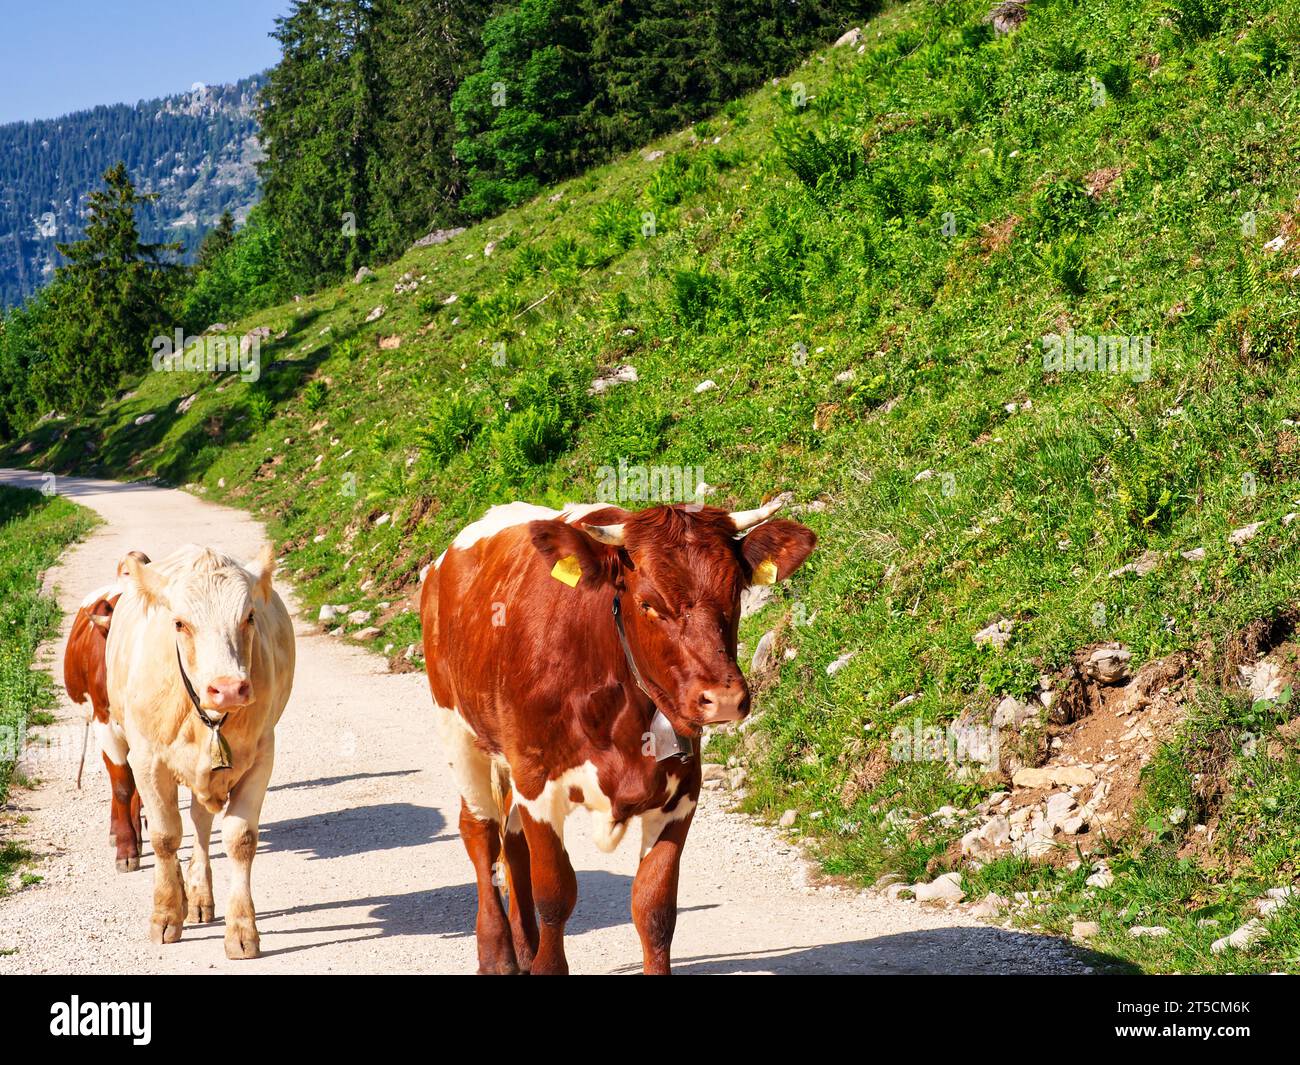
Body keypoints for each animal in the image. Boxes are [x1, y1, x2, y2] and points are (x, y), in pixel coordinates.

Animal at [106, 544, 295, 959]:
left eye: (249, 616)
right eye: (179, 623)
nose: (228, 689)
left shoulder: (263, 756)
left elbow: (240, 839)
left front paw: (241, 929)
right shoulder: (147, 760)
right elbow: (164, 836)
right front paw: (165, 915)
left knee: (200, 823)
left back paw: (198, 895)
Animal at [420, 498, 816, 974]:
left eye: (736, 592)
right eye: (647, 604)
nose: (723, 699)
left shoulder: (683, 793)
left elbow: (654, 906)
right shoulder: (539, 784)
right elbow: (555, 894)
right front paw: (544, 962)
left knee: (512, 841)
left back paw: (524, 946)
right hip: (459, 732)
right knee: (481, 831)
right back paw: (498, 953)